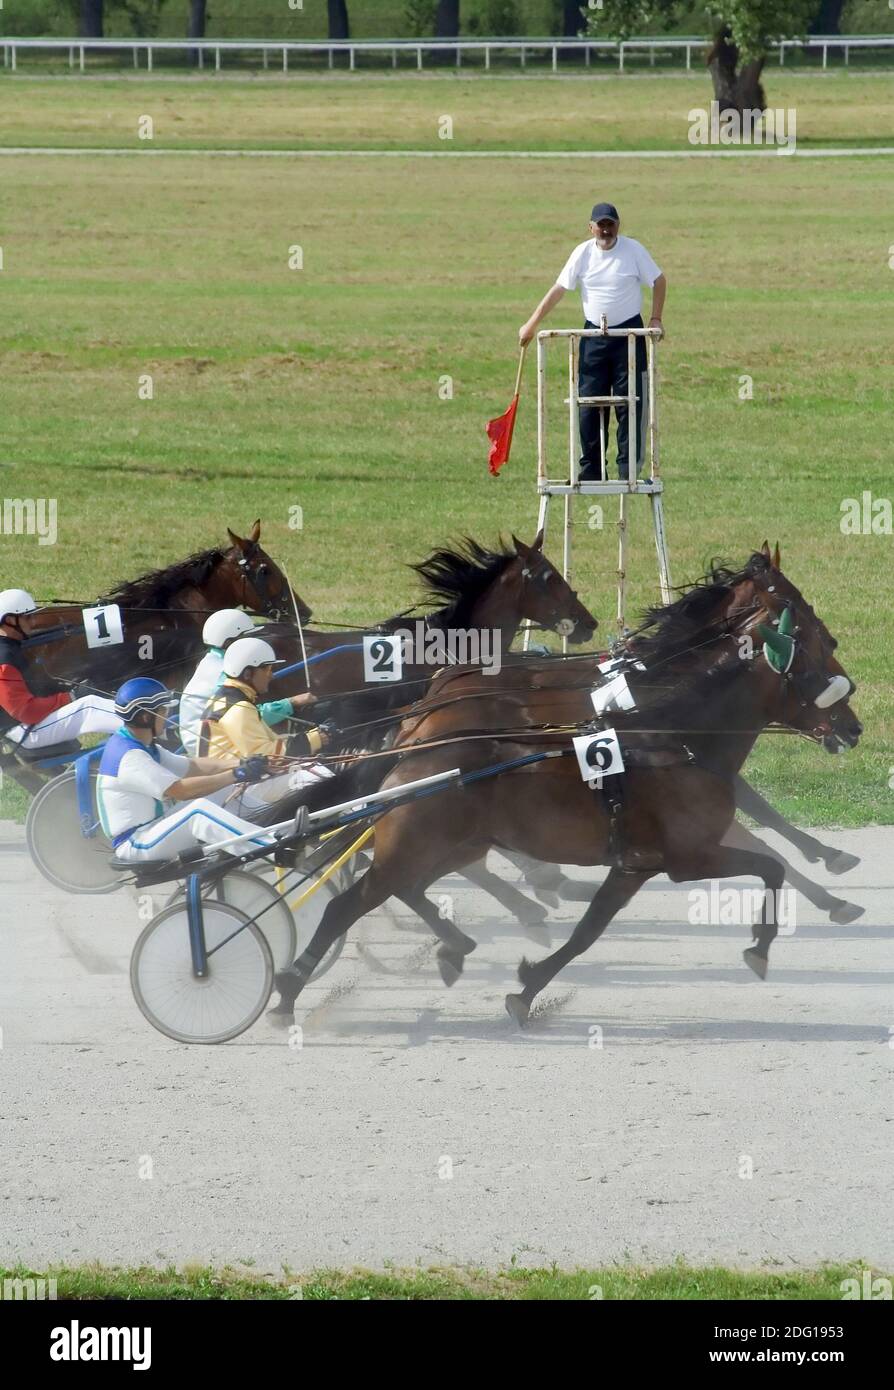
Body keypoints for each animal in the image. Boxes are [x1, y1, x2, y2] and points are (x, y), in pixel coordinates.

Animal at [267, 549, 861, 1021]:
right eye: (799, 620)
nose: (853, 725)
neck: (673, 723)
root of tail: (423, 719)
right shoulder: (686, 855)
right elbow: (767, 853)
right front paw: (796, 914)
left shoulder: (636, 863)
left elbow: (591, 928)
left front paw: (528, 988)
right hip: (421, 841)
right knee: (354, 902)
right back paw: (290, 989)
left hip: (449, 843)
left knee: (411, 886)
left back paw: (469, 937)